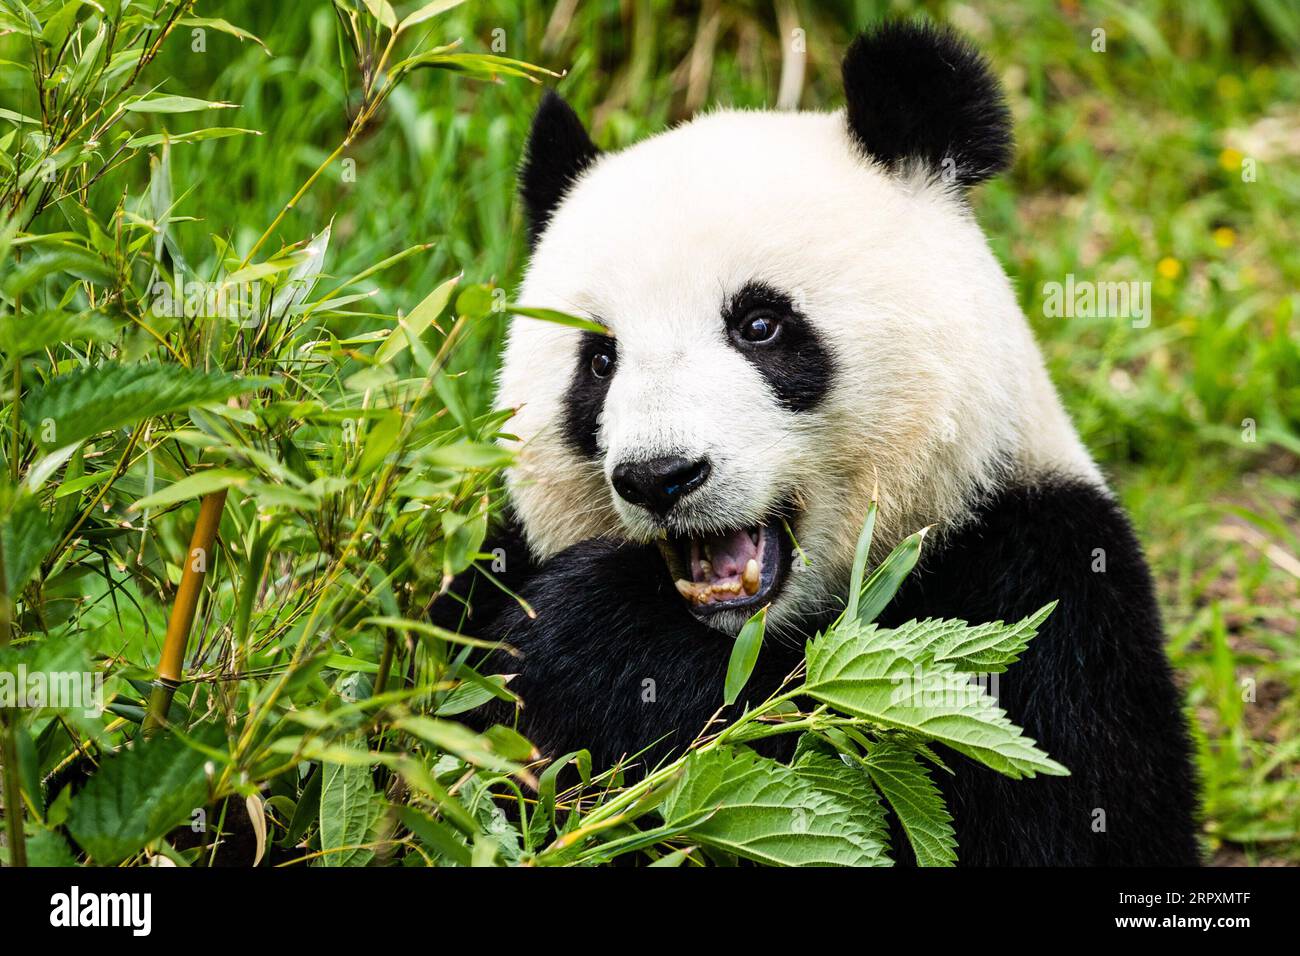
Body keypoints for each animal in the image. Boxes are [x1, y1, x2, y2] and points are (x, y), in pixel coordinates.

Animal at [439, 20, 1200, 866]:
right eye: (599, 361)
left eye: (760, 324)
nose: (660, 476)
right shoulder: (492, 561)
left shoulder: (1044, 581)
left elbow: (1016, 807)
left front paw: (595, 638)